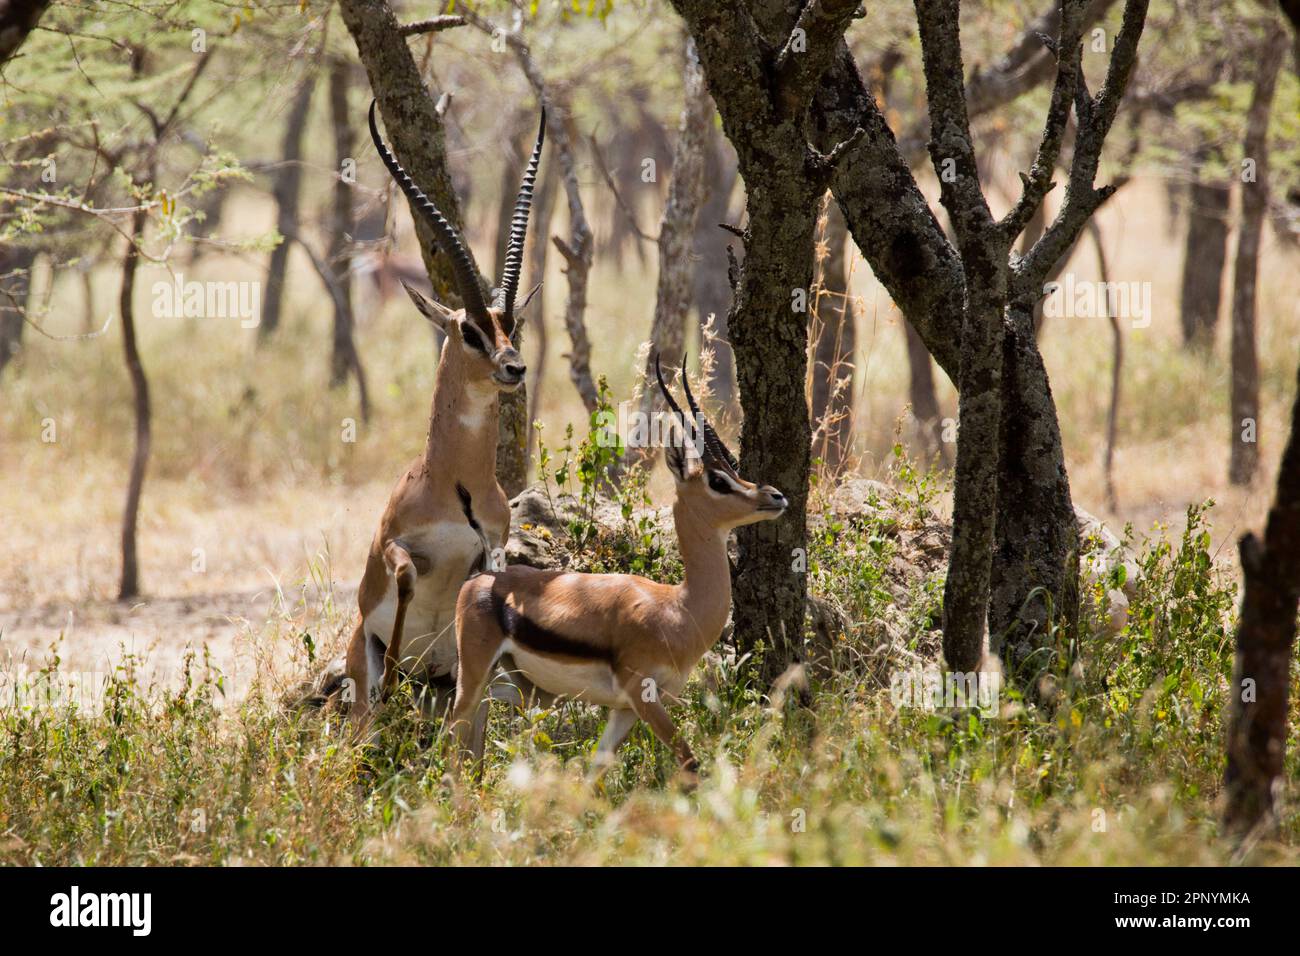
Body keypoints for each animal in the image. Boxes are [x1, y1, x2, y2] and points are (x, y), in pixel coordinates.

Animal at [341, 100, 544, 729]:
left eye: (510, 323)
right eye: (468, 330)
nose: (514, 367)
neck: (457, 487)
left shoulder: (491, 546)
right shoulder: (394, 542)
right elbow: (407, 573)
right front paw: (398, 656)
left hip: (469, 694)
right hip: (362, 685)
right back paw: (393, 681)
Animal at [448, 355, 787, 779]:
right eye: (718, 480)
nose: (775, 496)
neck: (678, 607)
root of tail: (483, 579)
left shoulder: (625, 709)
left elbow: (595, 772)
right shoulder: (644, 696)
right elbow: (690, 761)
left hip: (503, 680)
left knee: (474, 737)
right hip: (474, 675)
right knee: (451, 736)